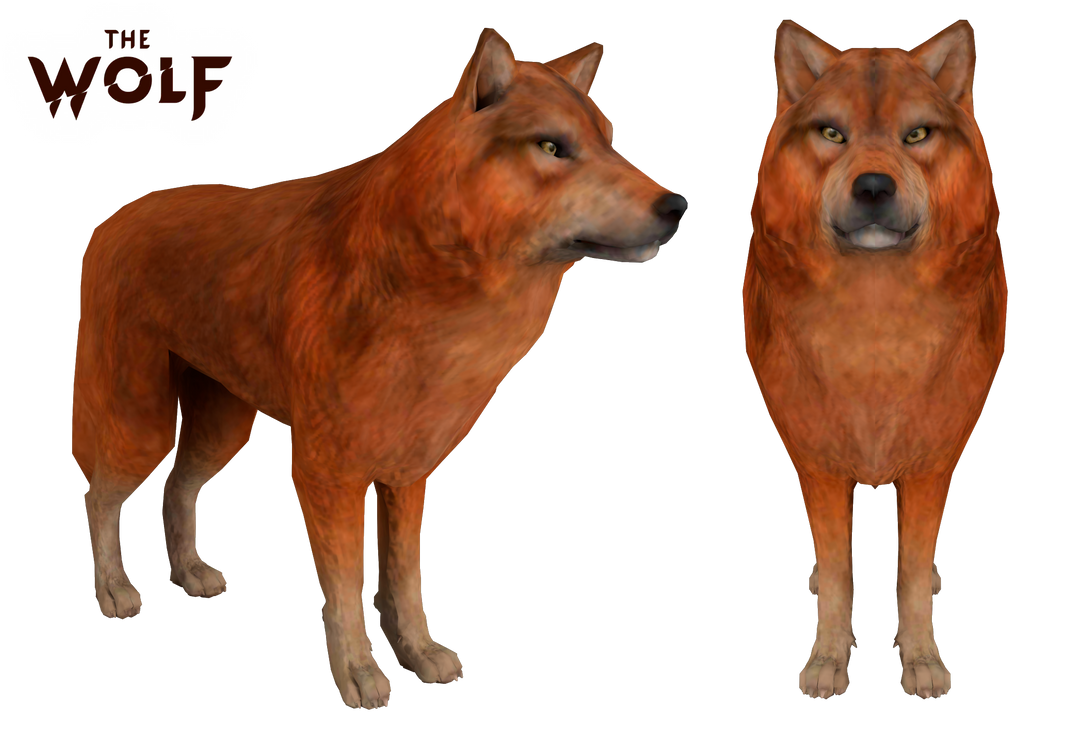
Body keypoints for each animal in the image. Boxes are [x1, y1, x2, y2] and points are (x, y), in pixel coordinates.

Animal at [69, 26, 688, 711]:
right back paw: (114, 592)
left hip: (224, 432)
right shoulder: (325, 472)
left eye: (611, 139)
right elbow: (345, 586)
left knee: (177, 489)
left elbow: (403, 580)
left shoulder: (408, 471)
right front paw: (361, 675)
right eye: (553, 147)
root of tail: (115, 218)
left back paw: (191, 575)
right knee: (100, 493)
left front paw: (419, 655)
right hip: (145, 426)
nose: (678, 206)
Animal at [742, 18, 1008, 701]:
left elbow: (910, 573)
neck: (874, 334)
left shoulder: (934, 461)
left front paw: (923, 662)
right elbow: (839, 574)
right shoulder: (815, 461)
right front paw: (826, 661)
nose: (873, 186)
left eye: (916, 135)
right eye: (832, 133)